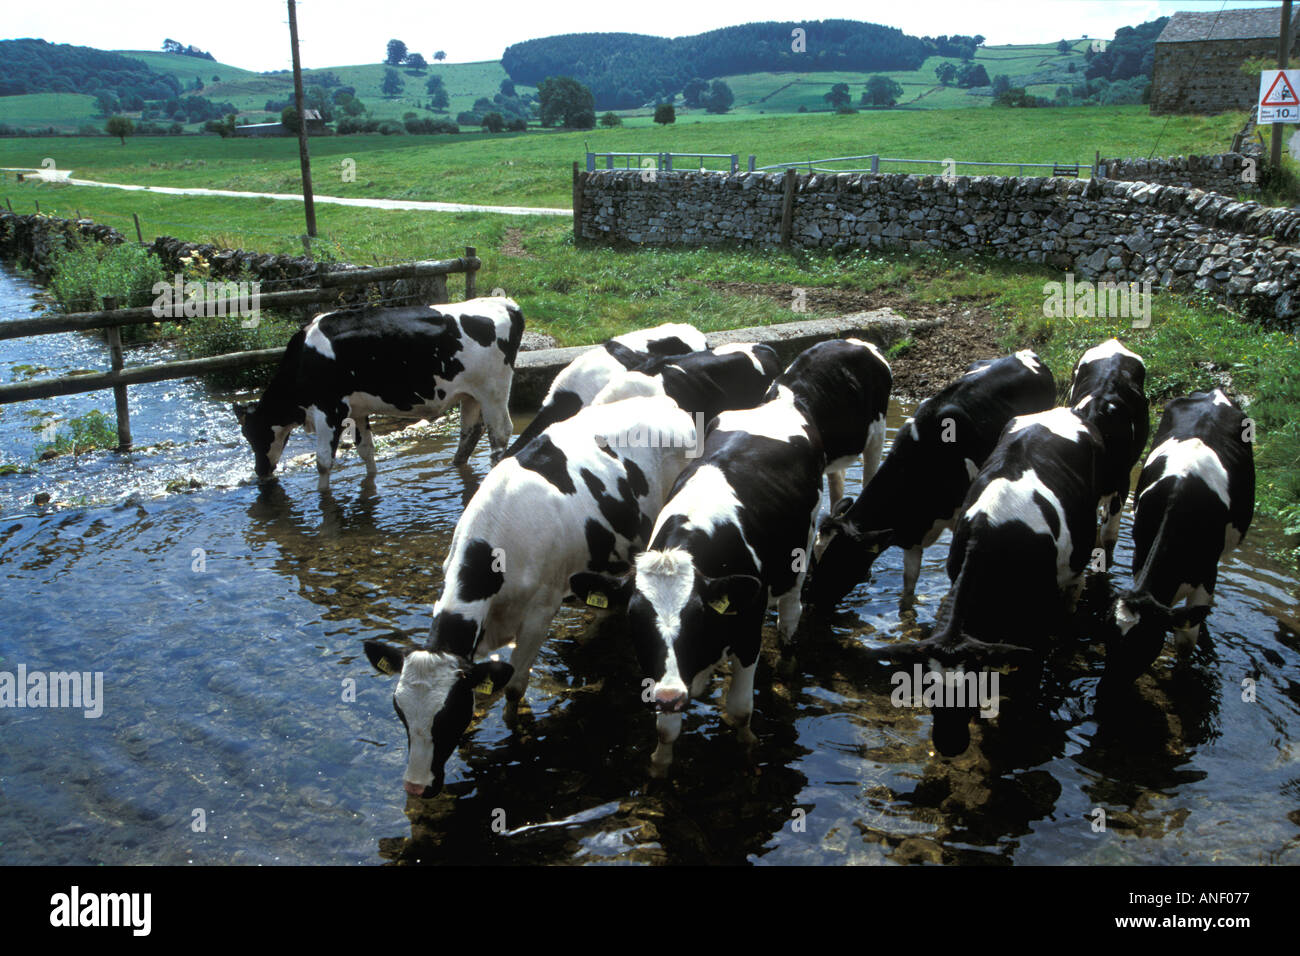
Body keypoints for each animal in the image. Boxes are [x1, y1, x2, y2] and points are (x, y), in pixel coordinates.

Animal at [233, 297, 523, 491]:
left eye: (251, 433)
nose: (260, 472)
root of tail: (504, 303)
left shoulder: (329, 410)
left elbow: (324, 461)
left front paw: (322, 495)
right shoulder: (356, 411)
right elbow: (366, 451)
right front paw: (370, 480)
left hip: (493, 391)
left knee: (499, 434)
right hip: (470, 395)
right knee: (469, 434)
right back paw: (453, 466)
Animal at [363, 394, 697, 797]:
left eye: (447, 714)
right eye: (401, 712)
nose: (415, 787)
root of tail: (662, 402)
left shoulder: (541, 611)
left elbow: (514, 687)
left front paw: (514, 738)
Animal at [806, 350, 1056, 611]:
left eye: (840, 558)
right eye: (813, 556)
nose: (809, 600)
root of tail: (1024, 353)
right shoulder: (911, 534)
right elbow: (908, 585)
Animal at [899, 406, 1104, 756]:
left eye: (971, 687)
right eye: (929, 688)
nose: (948, 745)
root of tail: (1064, 409)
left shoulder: (1038, 621)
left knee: (1073, 592)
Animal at [1102, 389, 1255, 685]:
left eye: (1143, 644)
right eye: (1107, 638)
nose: (1106, 693)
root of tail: (1214, 393)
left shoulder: (1207, 574)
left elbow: (1186, 640)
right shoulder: (1140, 556)